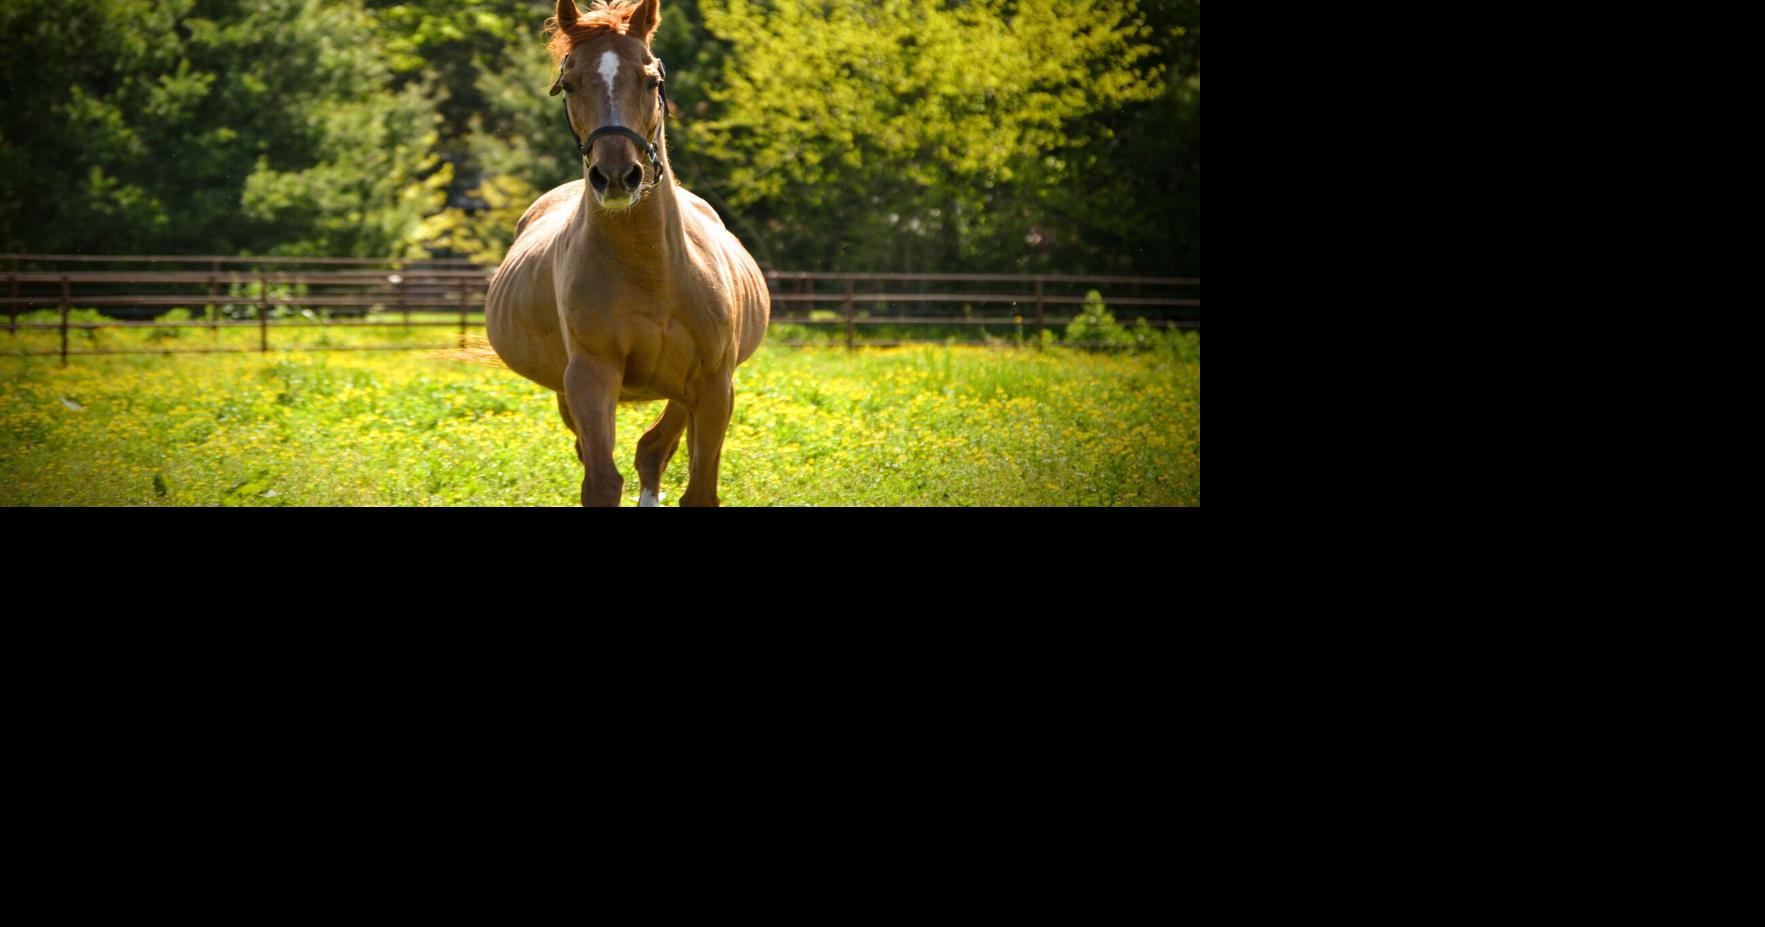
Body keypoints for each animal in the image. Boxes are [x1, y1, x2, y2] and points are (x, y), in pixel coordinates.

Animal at [484, 0, 769, 506]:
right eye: (570, 84)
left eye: (650, 80)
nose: (616, 176)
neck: (652, 270)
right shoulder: (590, 377)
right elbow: (601, 479)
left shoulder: (715, 385)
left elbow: (697, 486)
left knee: (654, 449)